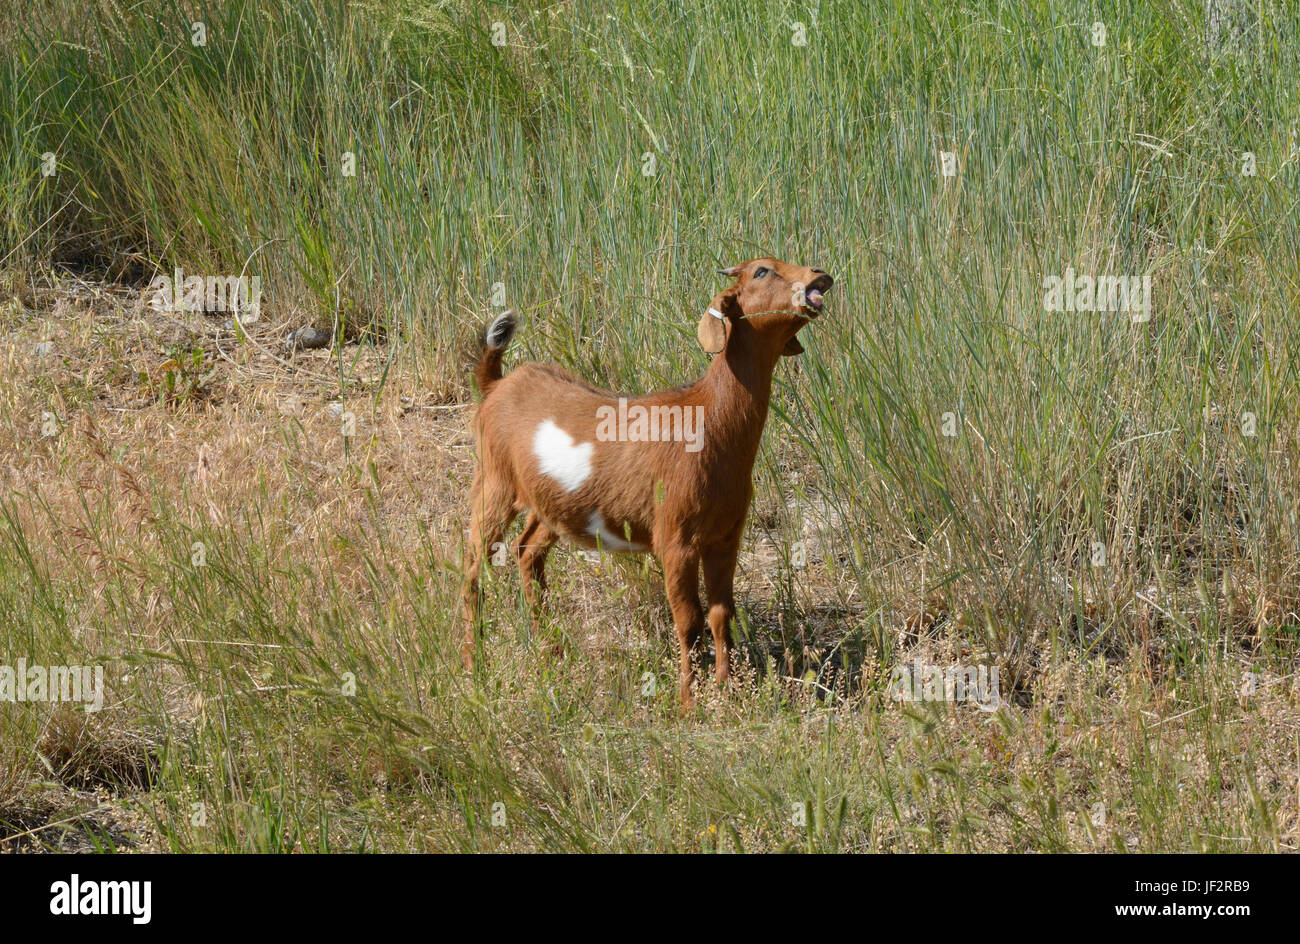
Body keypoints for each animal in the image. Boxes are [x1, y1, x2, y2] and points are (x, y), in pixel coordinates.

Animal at [459, 258, 834, 708]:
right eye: (761, 271)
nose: (820, 276)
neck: (706, 420)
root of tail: (497, 385)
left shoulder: (726, 536)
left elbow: (721, 613)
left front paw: (726, 690)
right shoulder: (675, 538)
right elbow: (689, 621)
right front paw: (688, 703)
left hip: (551, 506)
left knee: (526, 552)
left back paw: (553, 654)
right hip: (494, 482)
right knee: (472, 566)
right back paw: (473, 666)